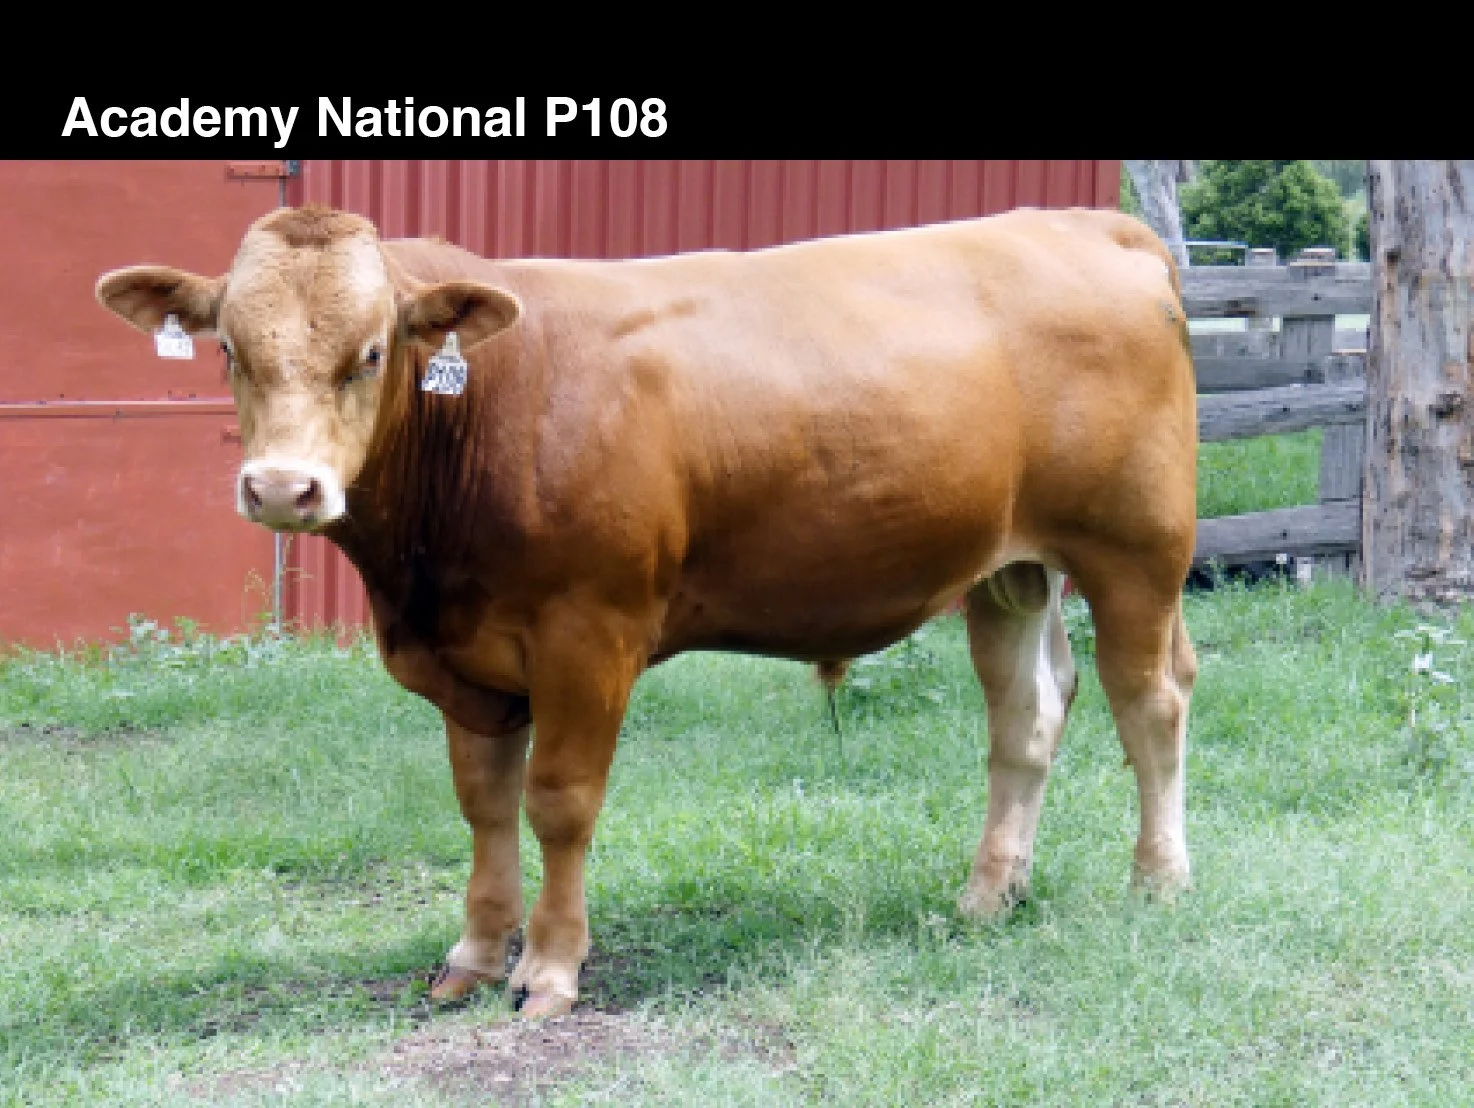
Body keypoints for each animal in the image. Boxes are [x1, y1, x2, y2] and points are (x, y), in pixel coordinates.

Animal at [95, 202, 1200, 1019]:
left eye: (370, 353)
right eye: (230, 350)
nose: (284, 489)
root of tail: (1090, 223)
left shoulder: (590, 635)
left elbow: (558, 801)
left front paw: (548, 970)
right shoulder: (466, 662)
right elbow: (483, 804)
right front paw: (472, 954)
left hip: (1137, 550)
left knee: (1150, 703)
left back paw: (1157, 882)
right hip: (1007, 572)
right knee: (1026, 719)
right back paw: (986, 896)